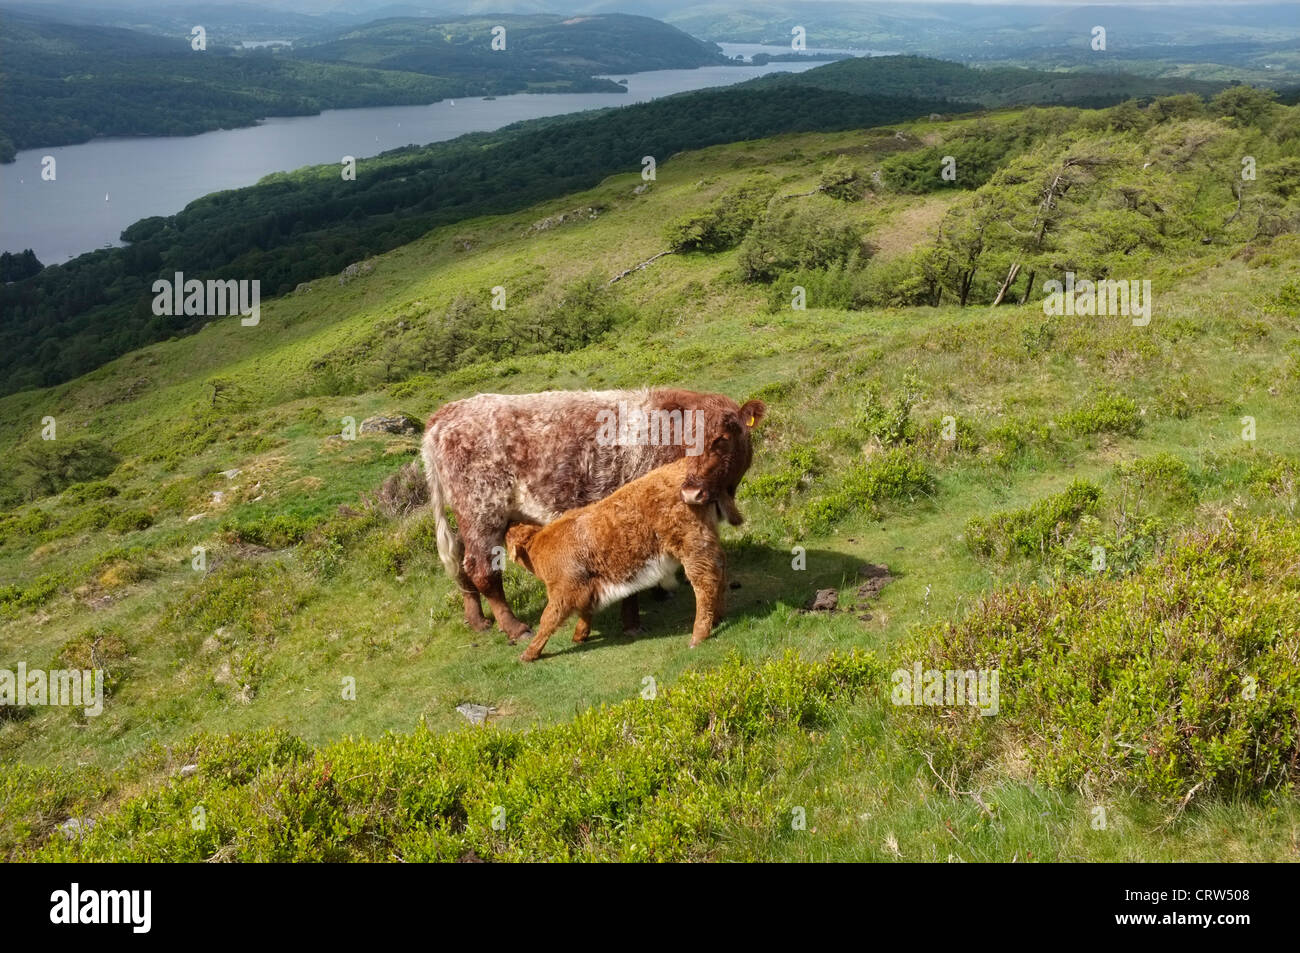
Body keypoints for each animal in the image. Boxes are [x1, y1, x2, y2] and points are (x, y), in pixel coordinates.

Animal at [504, 447, 748, 661]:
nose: (507, 526)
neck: (540, 544)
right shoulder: (585, 588)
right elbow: (585, 611)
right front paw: (579, 635)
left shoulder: (563, 590)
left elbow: (548, 619)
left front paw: (529, 653)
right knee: (720, 570)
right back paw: (718, 617)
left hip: (692, 547)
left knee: (705, 583)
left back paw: (698, 635)